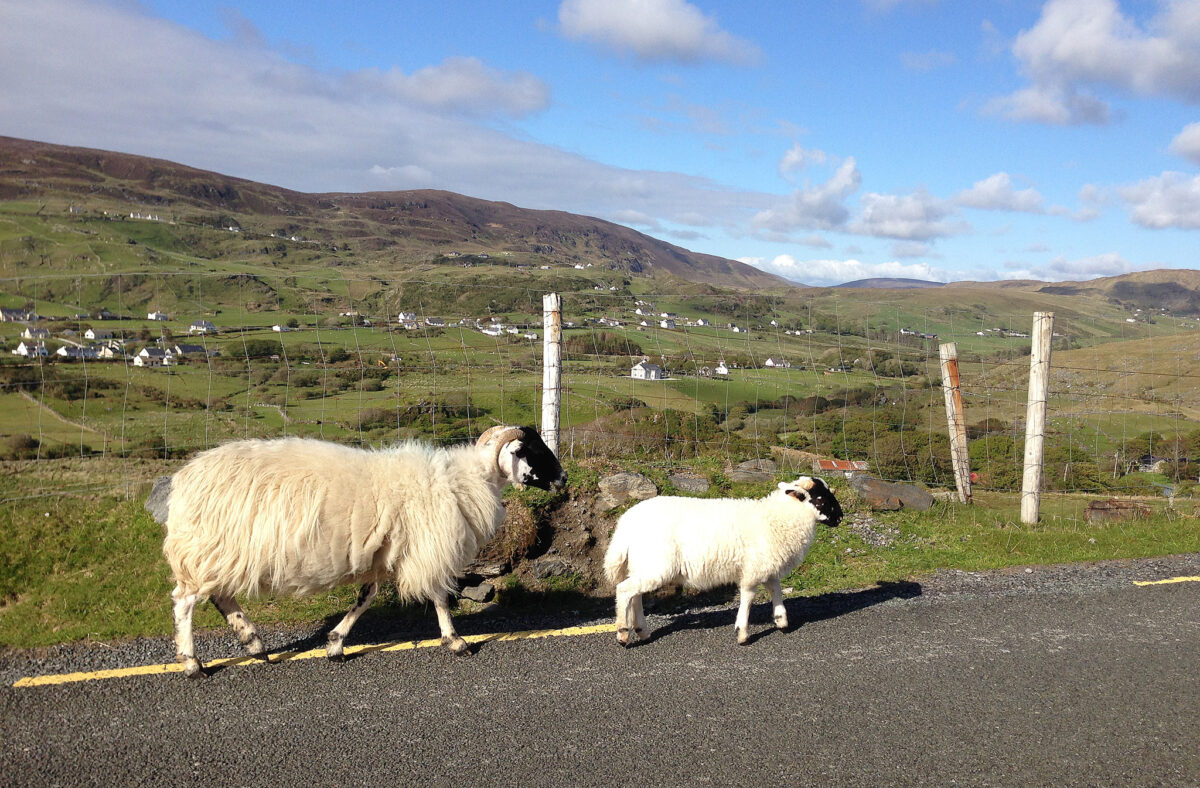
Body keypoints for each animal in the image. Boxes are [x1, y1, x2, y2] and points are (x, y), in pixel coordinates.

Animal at [161, 425, 565, 678]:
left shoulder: (385, 555)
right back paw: (193, 664)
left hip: (220, 553)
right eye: (532, 450)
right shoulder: (425, 548)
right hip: (209, 549)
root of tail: (184, 479)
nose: (562, 479)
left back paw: (254, 643)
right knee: (185, 602)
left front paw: (335, 644)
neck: (465, 480)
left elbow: (365, 598)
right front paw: (456, 642)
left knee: (220, 596)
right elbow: (439, 596)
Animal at [603, 476, 843, 646]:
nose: (840, 517)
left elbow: (776, 589)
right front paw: (742, 632)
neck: (780, 517)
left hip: (643, 564)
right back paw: (623, 633)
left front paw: (781, 620)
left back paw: (642, 631)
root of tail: (625, 524)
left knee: (635, 595)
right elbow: (748, 596)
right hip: (655, 564)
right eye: (820, 498)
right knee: (624, 590)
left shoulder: (766, 565)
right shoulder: (753, 568)